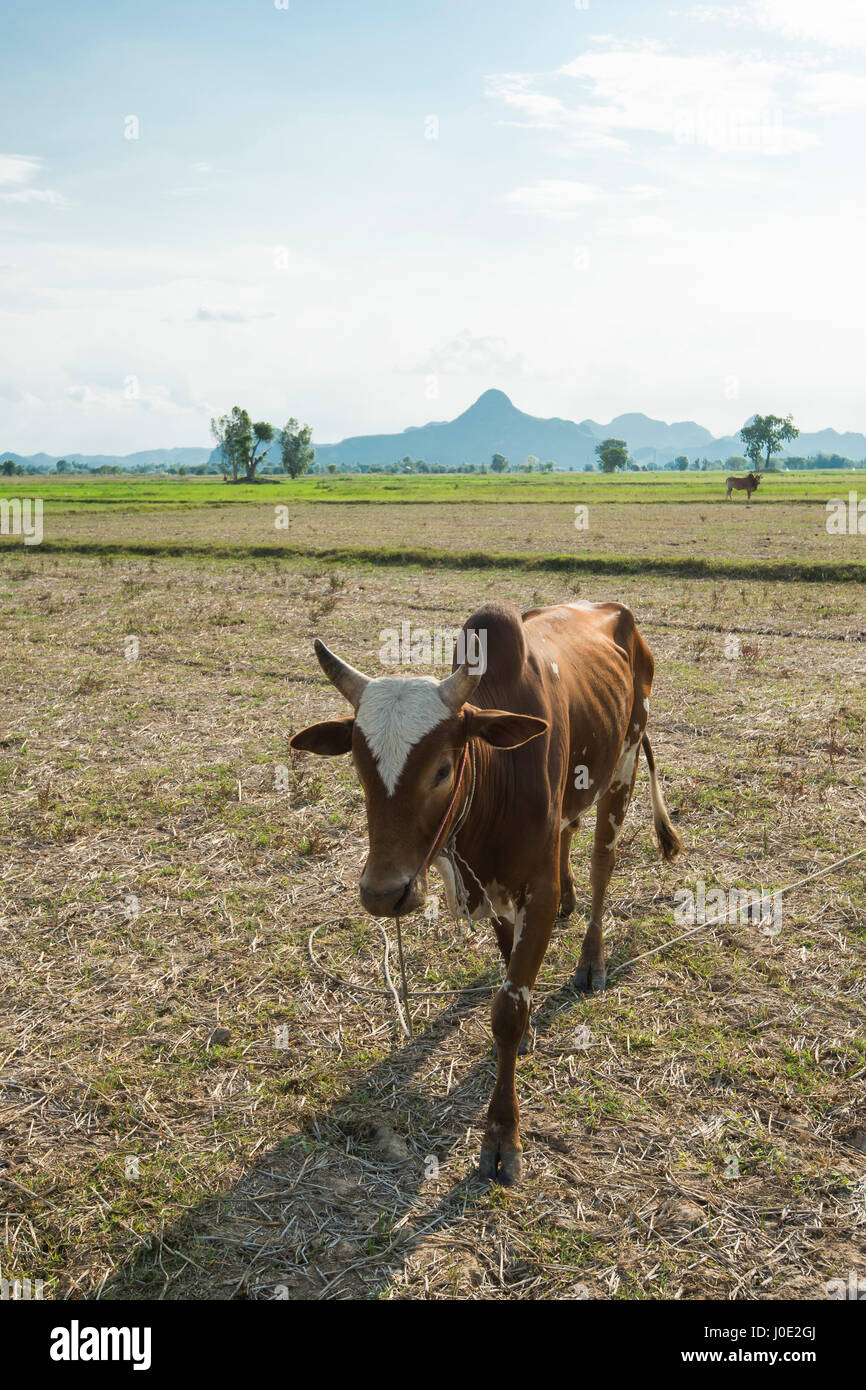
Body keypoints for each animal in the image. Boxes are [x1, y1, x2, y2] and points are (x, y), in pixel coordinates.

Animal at [290, 599, 682, 1185]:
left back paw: (591, 957)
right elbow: (506, 962)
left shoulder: (534, 892)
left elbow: (508, 1011)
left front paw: (502, 1135)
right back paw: (572, 902)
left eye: (443, 769)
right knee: (568, 828)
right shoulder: (492, 887)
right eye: (360, 767)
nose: (382, 893)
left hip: (625, 762)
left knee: (602, 863)